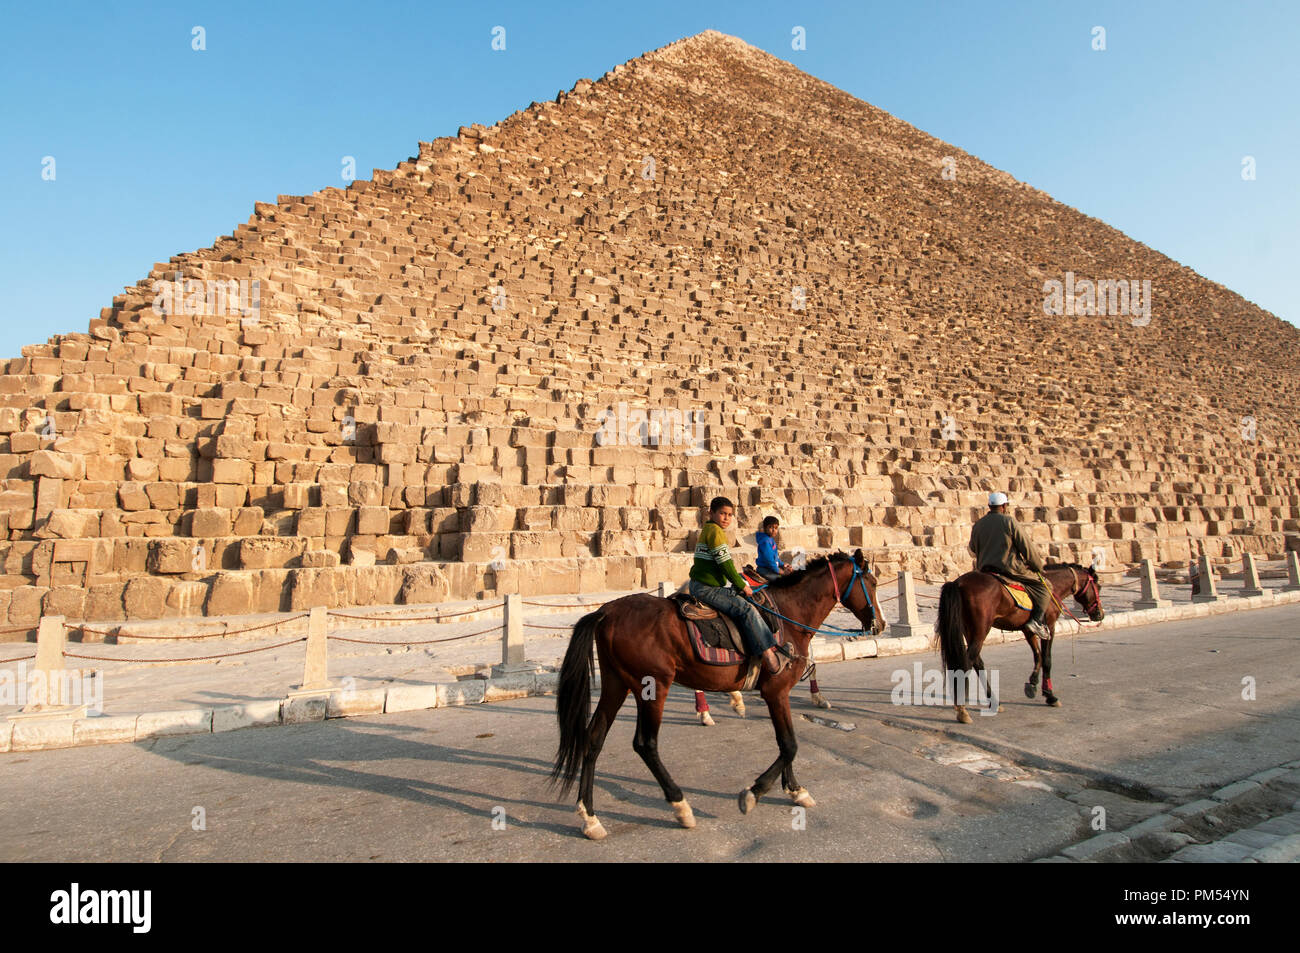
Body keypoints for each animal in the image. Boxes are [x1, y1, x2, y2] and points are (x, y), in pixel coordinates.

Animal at [551, 550, 884, 839]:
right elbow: (789, 744)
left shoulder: (779, 693)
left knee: (593, 738)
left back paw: (590, 817)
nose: (879, 624)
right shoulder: (775, 691)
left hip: (616, 682)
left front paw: (795, 789)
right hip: (653, 685)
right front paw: (754, 793)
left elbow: (785, 742)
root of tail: (606, 612)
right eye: (872, 582)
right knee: (645, 744)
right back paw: (681, 806)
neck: (789, 614)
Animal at [934, 562, 1104, 724]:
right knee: (967, 663)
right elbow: (1047, 659)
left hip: (969, 630)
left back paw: (993, 702)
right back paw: (962, 710)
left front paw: (1033, 684)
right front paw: (1050, 695)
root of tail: (957, 583)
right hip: (980, 629)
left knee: (977, 662)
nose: (1100, 614)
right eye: (1099, 586)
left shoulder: (1028, 629)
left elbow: (1037, 656)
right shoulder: (1049, 626)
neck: (1053, 587)